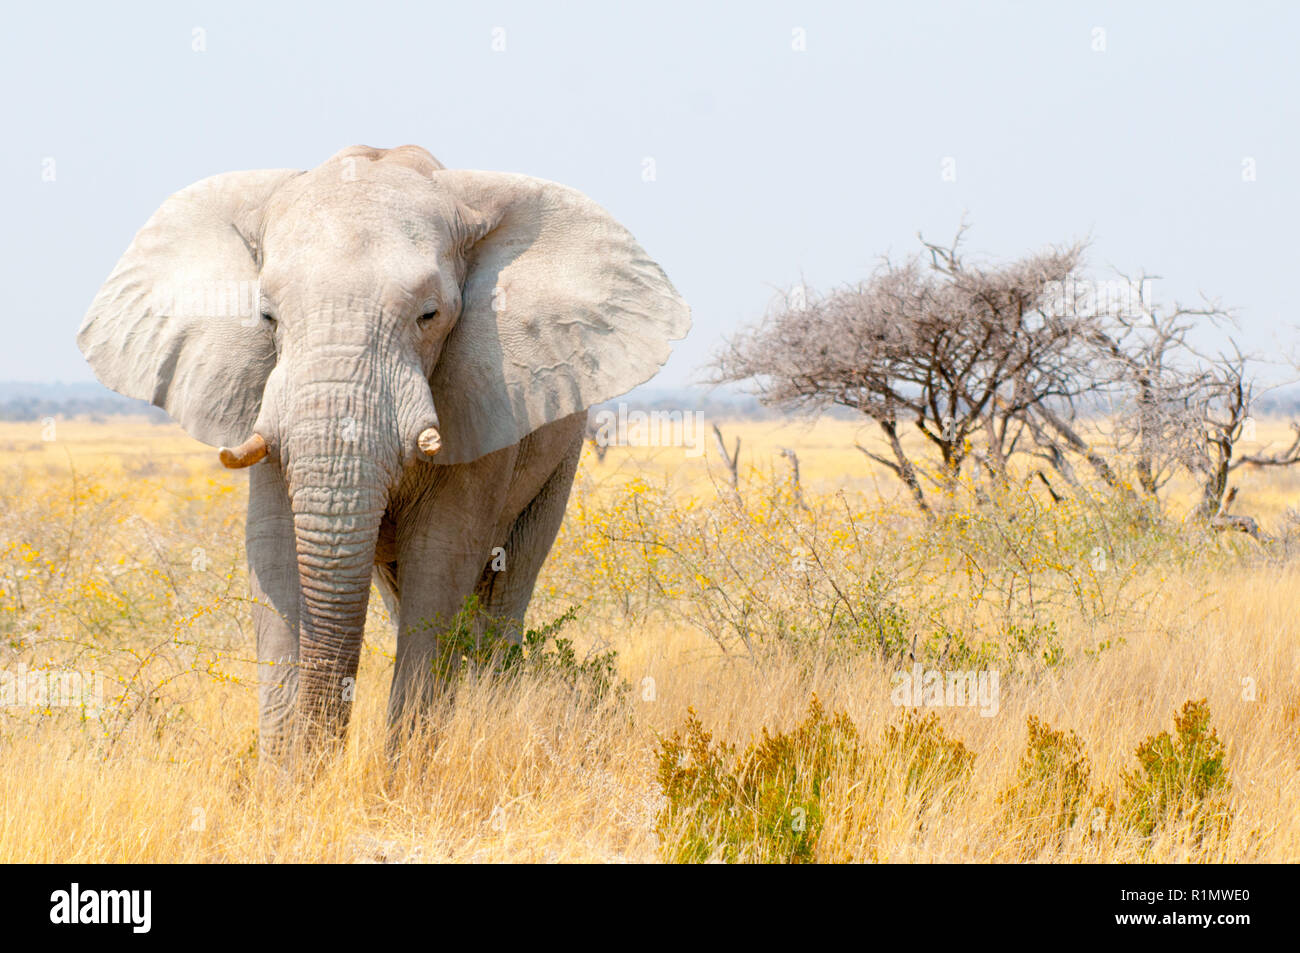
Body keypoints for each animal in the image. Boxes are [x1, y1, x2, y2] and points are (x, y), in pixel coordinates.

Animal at [77, 144, 689, 763]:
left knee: (506, 582)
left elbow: (441, 556)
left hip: (559, 458)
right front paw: (288, 780)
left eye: (430, 315)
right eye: (267, 317)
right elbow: (274, 553)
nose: (324, 764)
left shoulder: (484, 391)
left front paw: (405, 773)